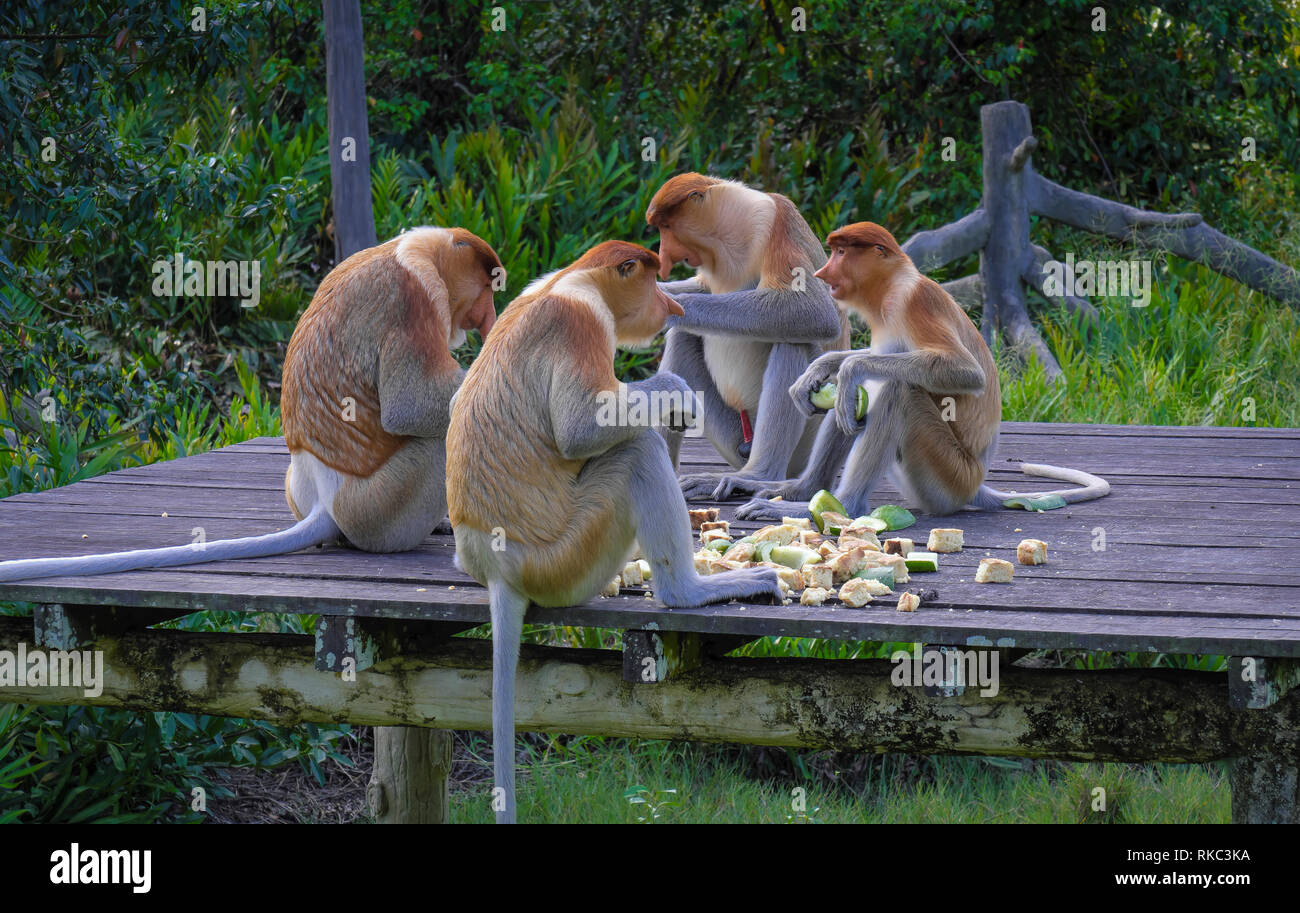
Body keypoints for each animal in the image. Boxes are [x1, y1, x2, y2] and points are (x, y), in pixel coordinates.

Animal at [0, 227, 502, 583]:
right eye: (488, 285)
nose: (491, 317)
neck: (418, 251)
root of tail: (324, 503)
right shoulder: (414, 299)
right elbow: (407, 405)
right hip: (376, 509)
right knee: (433, 443)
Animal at [446, 239, 783, 823]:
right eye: (649, 280)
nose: (671, 308)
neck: (571, 280)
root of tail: (497, 568)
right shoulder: (580, 323)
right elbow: (581, 429)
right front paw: (673, 391)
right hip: (571, 553)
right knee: (636, 451)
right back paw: (690, 591)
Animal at [645, 173, 848, 501]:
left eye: (666, 226)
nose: (664, 256)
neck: (727, 232)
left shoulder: (778, 226)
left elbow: (812, 310)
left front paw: (664, 307)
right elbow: (702, 287)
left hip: (806, 439)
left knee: (795, 342)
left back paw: (756, 477)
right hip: (730, 438)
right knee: (685, 336)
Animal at [729, 222, 1109, 521]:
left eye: (840, 252)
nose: (823, 274)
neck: (889, 288)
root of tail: (976, 482)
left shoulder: (914, 301)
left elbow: (966, 373)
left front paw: (848, 367)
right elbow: (871, 364)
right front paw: (821, 368)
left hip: (948, 476)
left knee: (898, 390)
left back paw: (843, 507)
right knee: (859, 401)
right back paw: (803, 489)